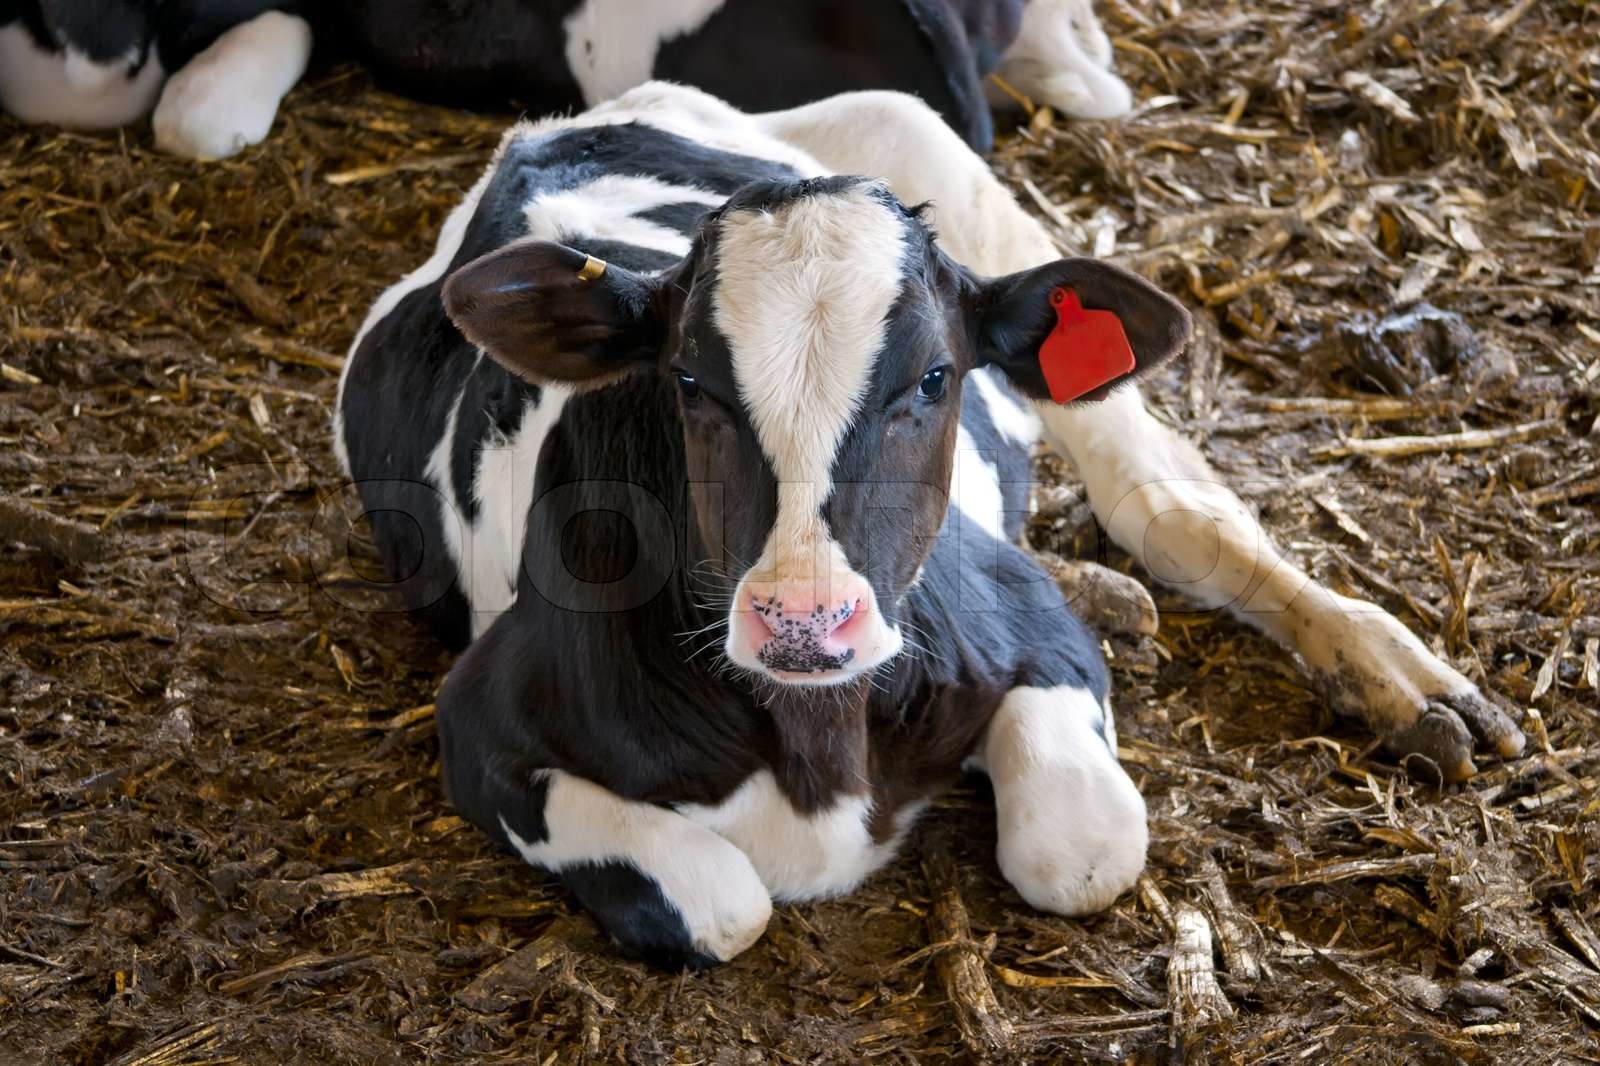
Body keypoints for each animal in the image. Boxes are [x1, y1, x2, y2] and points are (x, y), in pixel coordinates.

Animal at [331, 82, 1527, 967]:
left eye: (935, 377)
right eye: (688, 382)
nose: (803, 622)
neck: (819, 749)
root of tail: (555, 129)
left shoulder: (1030, 636)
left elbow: (1082, 849)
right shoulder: (479, 730)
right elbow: (724, 901)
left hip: (923, 142)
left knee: (1167, 509)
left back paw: (1408, 683)